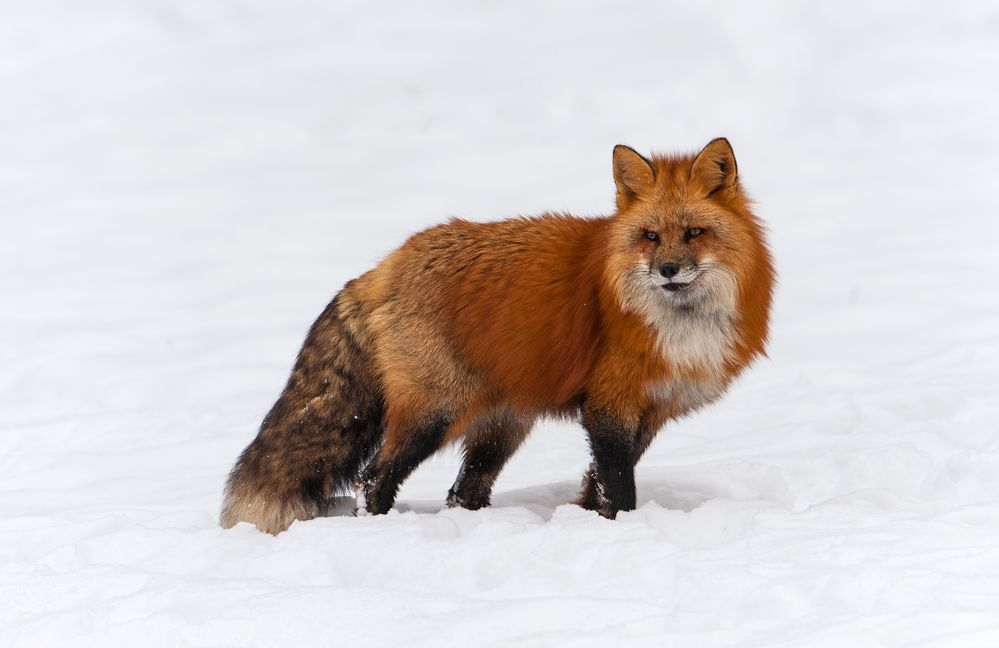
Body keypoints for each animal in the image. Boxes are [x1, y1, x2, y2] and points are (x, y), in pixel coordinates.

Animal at [220, 138, 775, 535]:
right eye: (650, 236)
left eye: (695, 233)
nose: (667, 270)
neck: (679, 327)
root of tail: (384, 265)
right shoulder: (608, 406)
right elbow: (619, 487)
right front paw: (625, 530)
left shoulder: (648, 410)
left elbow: (596, 485)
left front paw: (591, 521)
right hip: (434, 413)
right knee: (372, 478)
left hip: (501, 427)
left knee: (462, 493)